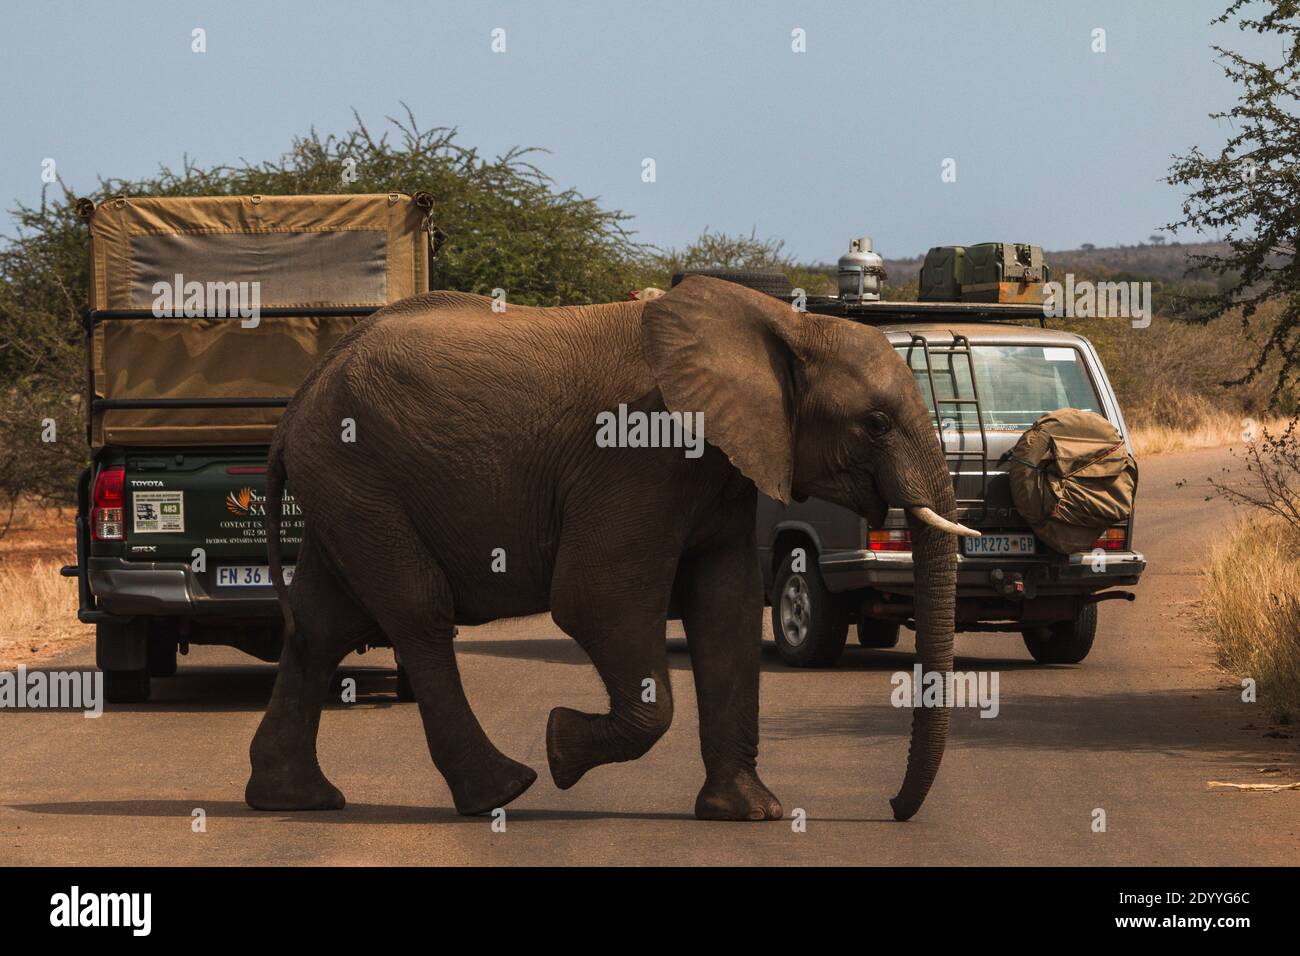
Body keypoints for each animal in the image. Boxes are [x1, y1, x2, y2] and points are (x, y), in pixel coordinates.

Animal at [244, 276, 976, 822]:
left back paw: (295, 800)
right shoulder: (637, 453)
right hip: (360, 478)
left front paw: (750, 813)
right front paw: (561, 747)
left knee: (320, 624)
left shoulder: (721, 464)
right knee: (418, 614)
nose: (893, 808)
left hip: (344, 487)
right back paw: (503, 791)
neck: (784, 325)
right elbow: (596, 601)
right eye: (875, 423)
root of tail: (300, 398)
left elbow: (727, 608)